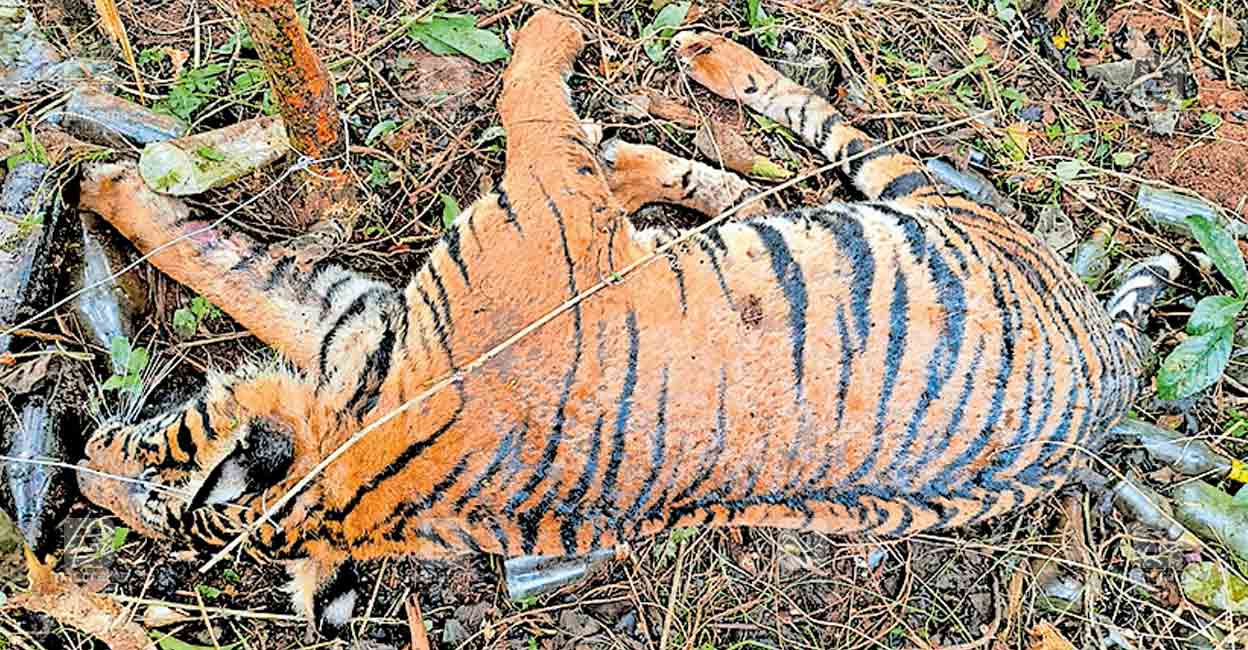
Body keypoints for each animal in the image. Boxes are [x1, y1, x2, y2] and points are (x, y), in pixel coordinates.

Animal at [74, 10, 1178, 630]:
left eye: (167, 467)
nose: (82, 464)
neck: (374, 438)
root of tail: (1115, 381)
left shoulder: (520, 209)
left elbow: (527, 91)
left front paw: (102, 184)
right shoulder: (361, 315)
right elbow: (228, 268)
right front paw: (114, 190)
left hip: (940, 203)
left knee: (823, 135)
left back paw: (700, 67)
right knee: (740, 190)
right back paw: (650, 147)